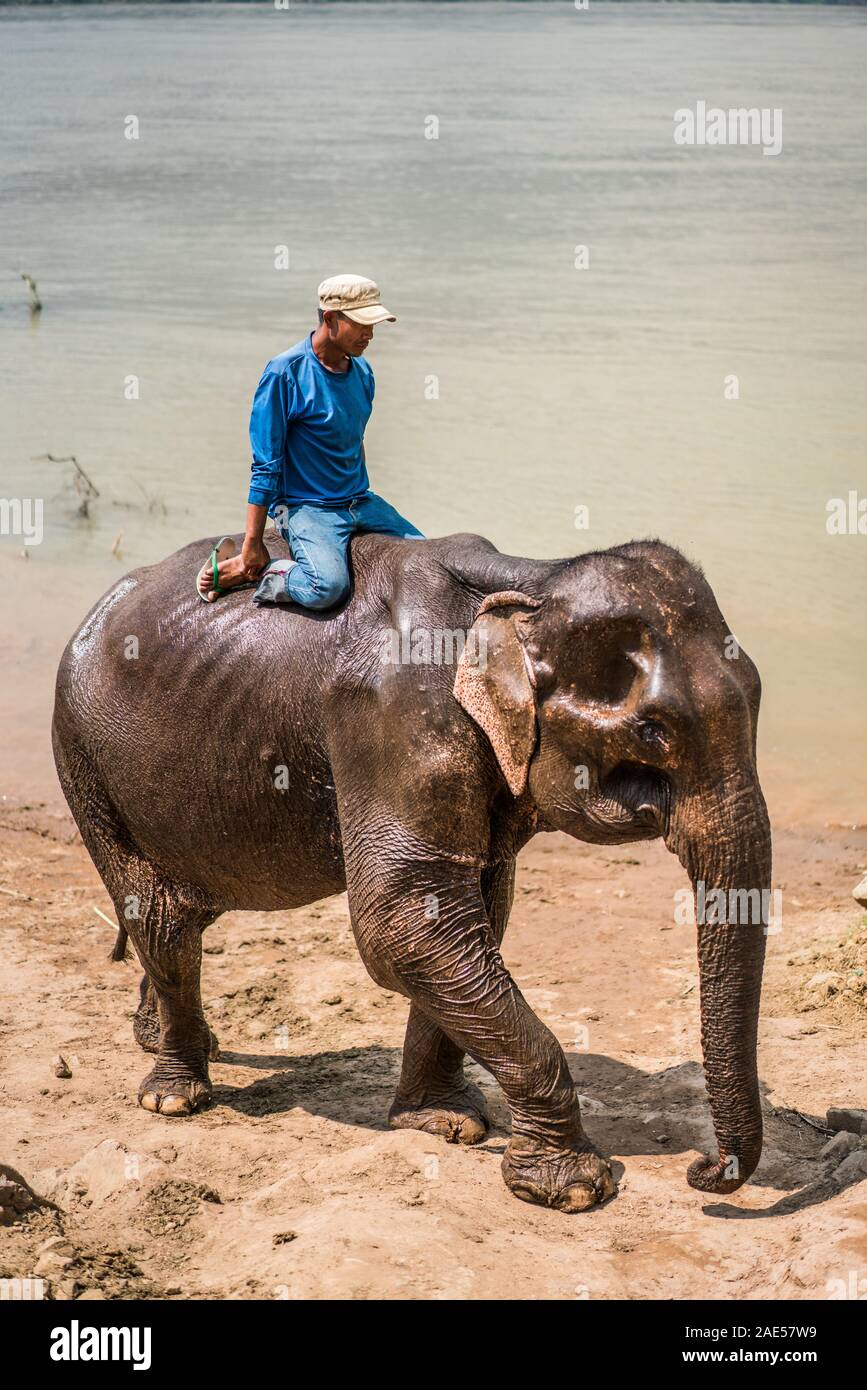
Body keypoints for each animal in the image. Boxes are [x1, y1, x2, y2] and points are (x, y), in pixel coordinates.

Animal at [52, 528, 772, 1214]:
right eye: (653, 731)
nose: (703, 1171)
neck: (532, 581)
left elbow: (471, 915)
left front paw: (442, 1122)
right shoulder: (391, 720)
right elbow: (400, 924)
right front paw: (571, 1189)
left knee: (188, 911)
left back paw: (158, 1039)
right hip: (85, 761)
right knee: (161, 918)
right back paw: (174, 1097)